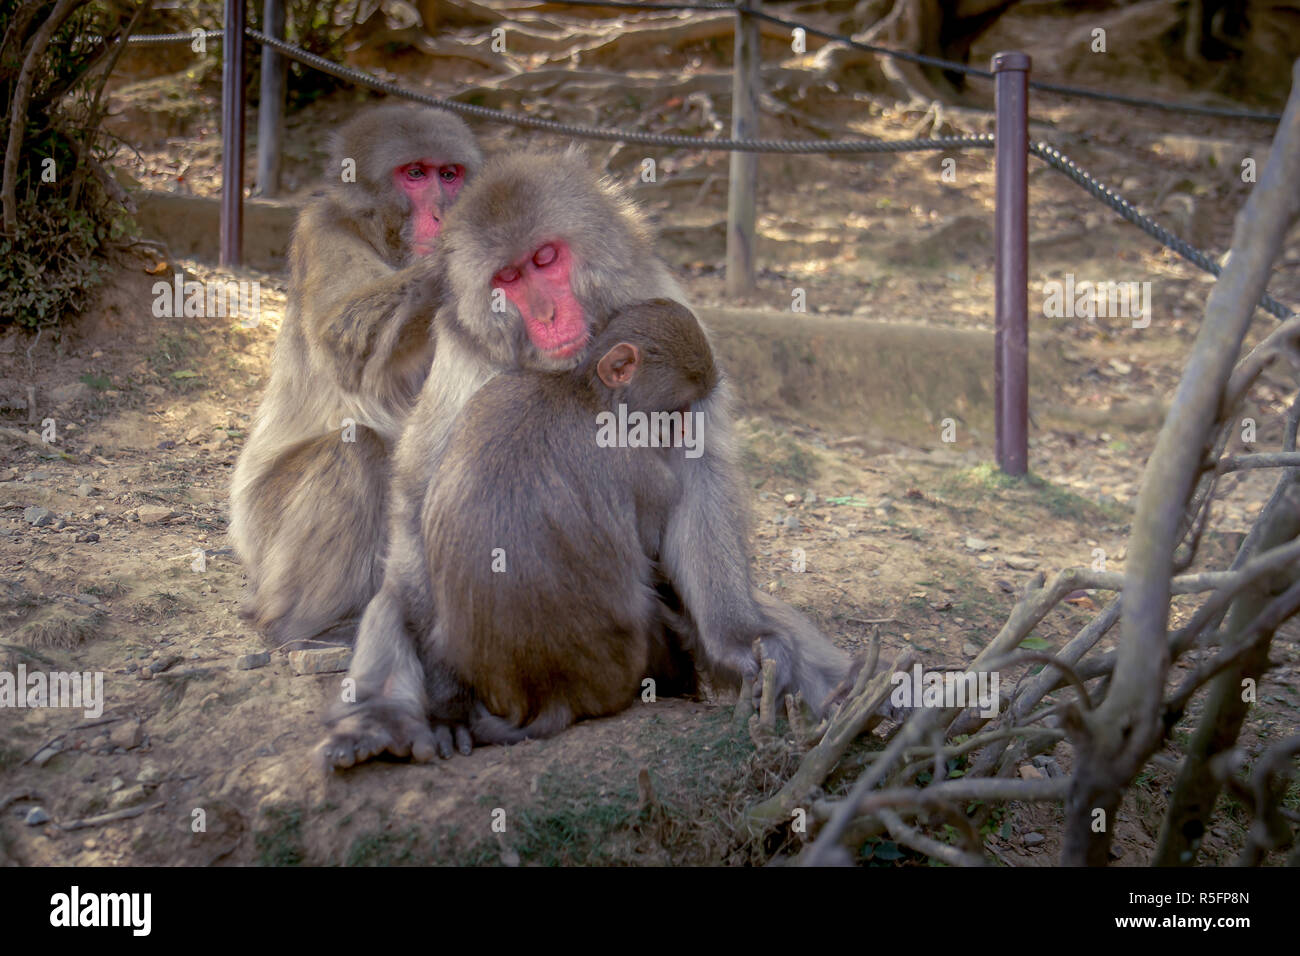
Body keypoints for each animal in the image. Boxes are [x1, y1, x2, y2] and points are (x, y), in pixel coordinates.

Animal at [228, 105, 482, 650]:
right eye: (415, 174)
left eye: (449, 175)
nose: (442, 211)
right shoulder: (320, 231)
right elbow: (341, 339)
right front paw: (453, 256)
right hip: (260, 527)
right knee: (354, 450)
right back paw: (297, 625)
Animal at [318, 148, 849, 768]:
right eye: (508, 279)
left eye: (545, 259)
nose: (548, 315)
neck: (578, 378)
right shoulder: (461, 354)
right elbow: (414, 493)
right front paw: (445, 703)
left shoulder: (666, 299)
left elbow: (702, 473)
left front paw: (738, 640)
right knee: (393, 600)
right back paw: (382, 723)